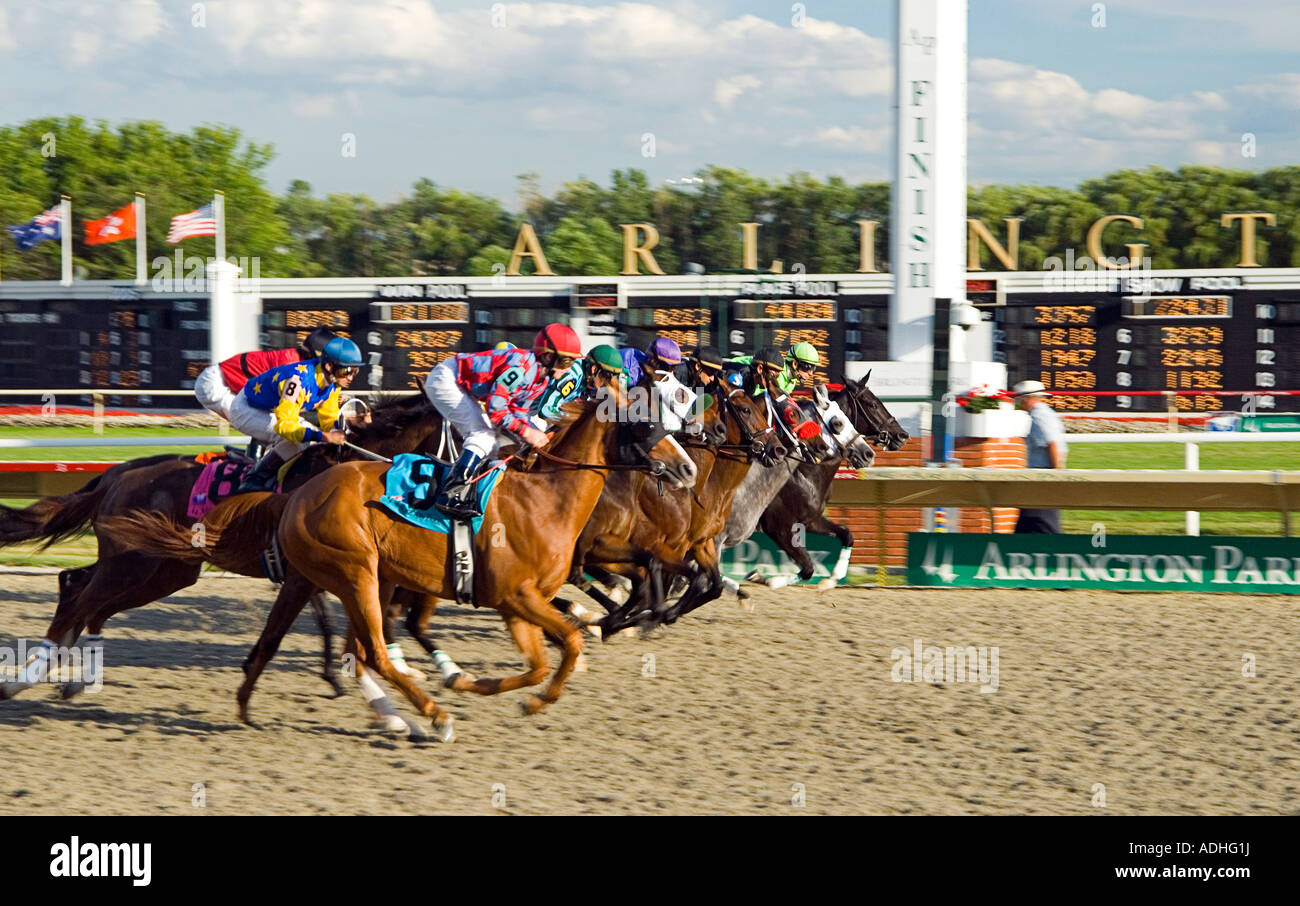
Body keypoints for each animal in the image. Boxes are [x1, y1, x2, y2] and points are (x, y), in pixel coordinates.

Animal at [103, 391, 699, 740]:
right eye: (645, 423)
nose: (688, 467)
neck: (546, 496)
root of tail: (295, 493)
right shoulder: (517, 596)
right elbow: (570, 644)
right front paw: (530, 698)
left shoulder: (514, 604)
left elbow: (536, 661)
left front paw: (485, 686)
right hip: (357, 572)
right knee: (371, 651)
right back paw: (428, 716)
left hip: (345, 576)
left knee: (314, 642)